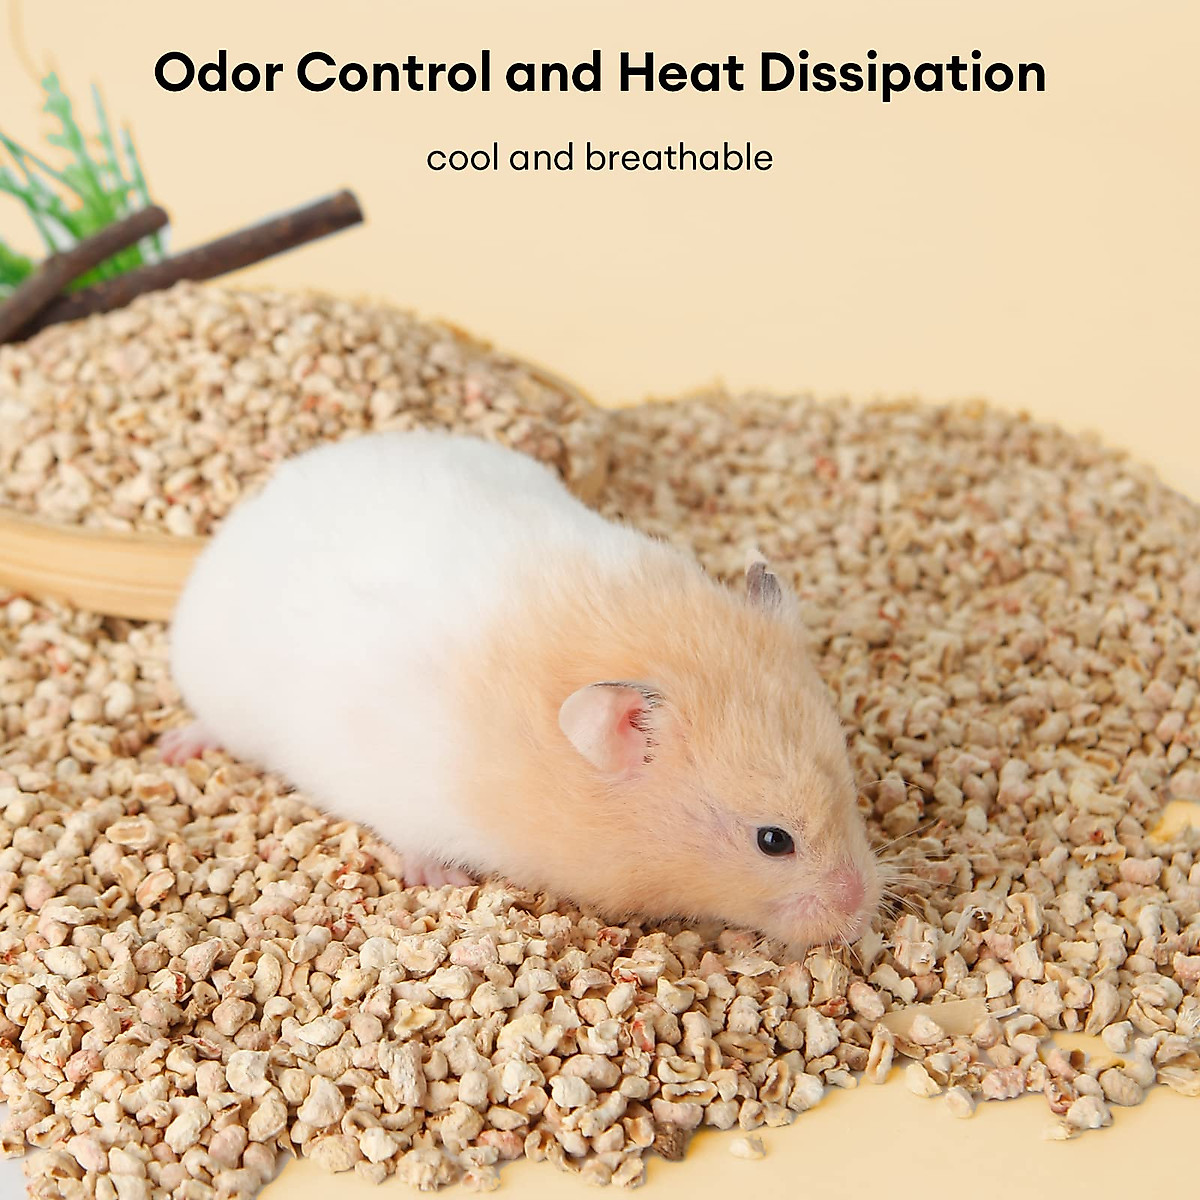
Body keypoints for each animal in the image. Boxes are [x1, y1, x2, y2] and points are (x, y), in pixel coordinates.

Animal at [165, 430, 881, 949]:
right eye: (773, 841)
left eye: (851, 785)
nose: (864, 912)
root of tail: (244, 519)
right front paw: (444, 878)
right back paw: (178, 747)